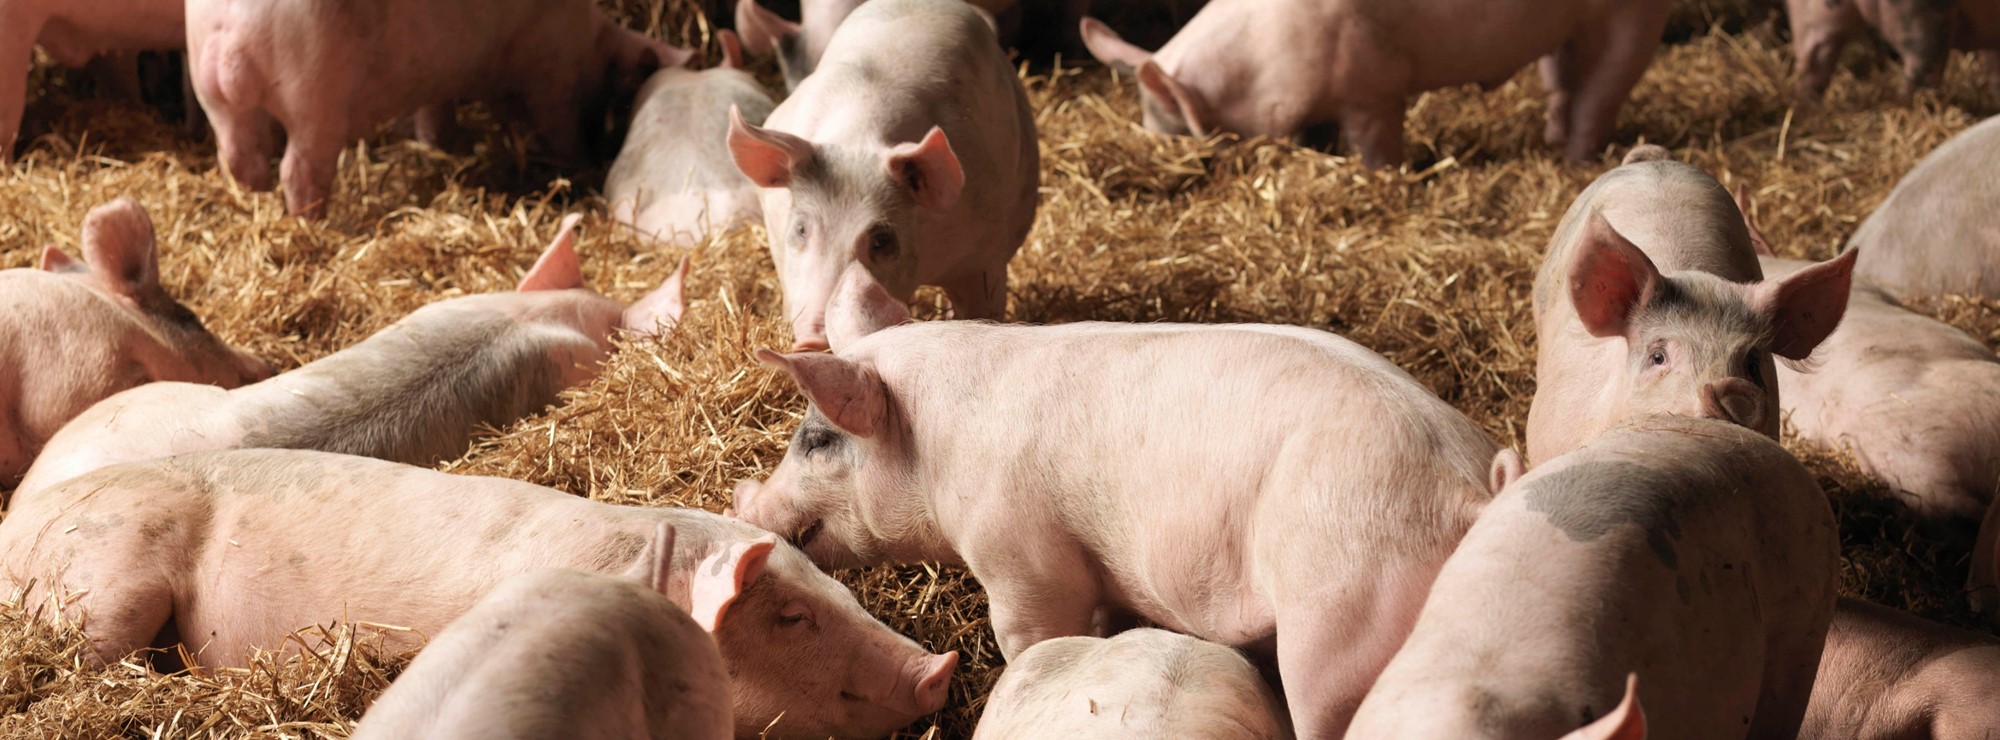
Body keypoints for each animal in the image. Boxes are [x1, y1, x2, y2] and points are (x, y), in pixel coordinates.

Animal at [185, 0, 694, 219]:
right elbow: (559, 125)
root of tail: (235, 30)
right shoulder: (554, 74)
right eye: (614, 95)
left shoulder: (441, 79)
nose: (601, 144)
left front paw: (443, 146)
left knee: (241, 158)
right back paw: (312, 224)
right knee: (299, 171)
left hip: (211, 86)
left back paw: (257, 202)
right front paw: (580, 167)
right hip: (314, 91)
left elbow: (435, 112)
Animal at [1076, 0, 1670, 166]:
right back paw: (1552, 141)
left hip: (1633, 15)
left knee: (1603, 88)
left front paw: (1381, 174)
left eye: (1177, 133)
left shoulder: (1373, 85)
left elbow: (1376, 141)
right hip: (1565, 31)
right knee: (1562, 81)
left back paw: (1576, 162)